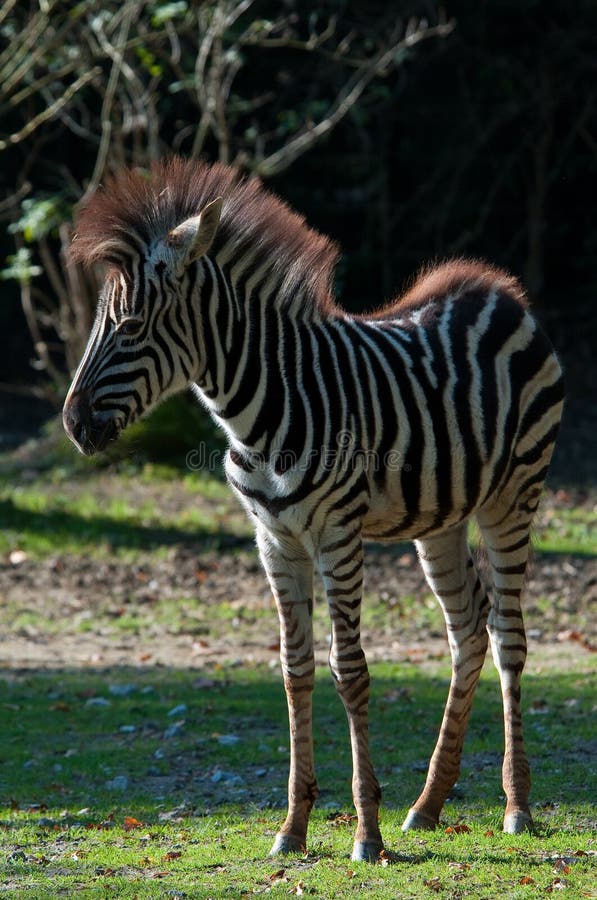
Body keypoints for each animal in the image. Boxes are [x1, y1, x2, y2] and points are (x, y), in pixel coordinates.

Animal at [63, 157, 564, 862]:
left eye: (130, 327)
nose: (72, 425)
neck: (259, 412)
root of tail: (500, 289)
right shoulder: (273, 540)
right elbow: (294, 669)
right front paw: (293, 827)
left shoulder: (337, 536)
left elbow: (348, 671)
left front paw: (366, 833)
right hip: (440, 521)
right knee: (468, 629)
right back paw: (428, 803)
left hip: (513, 498)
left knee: (508, 638)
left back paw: (517, 805)